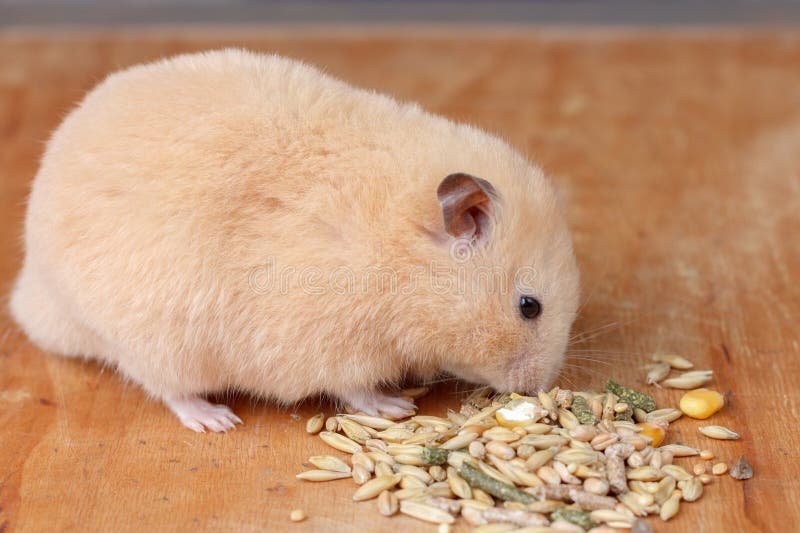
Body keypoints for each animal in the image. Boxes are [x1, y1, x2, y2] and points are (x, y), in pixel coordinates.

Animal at [9, 49, 580, 432]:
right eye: (529, 306)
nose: (542, 387)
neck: (401, 256)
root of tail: (34, 288)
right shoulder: (330, 344)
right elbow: (353, 388)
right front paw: (397, 406)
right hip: (158, 344)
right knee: (166, 389)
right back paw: (215, 419)